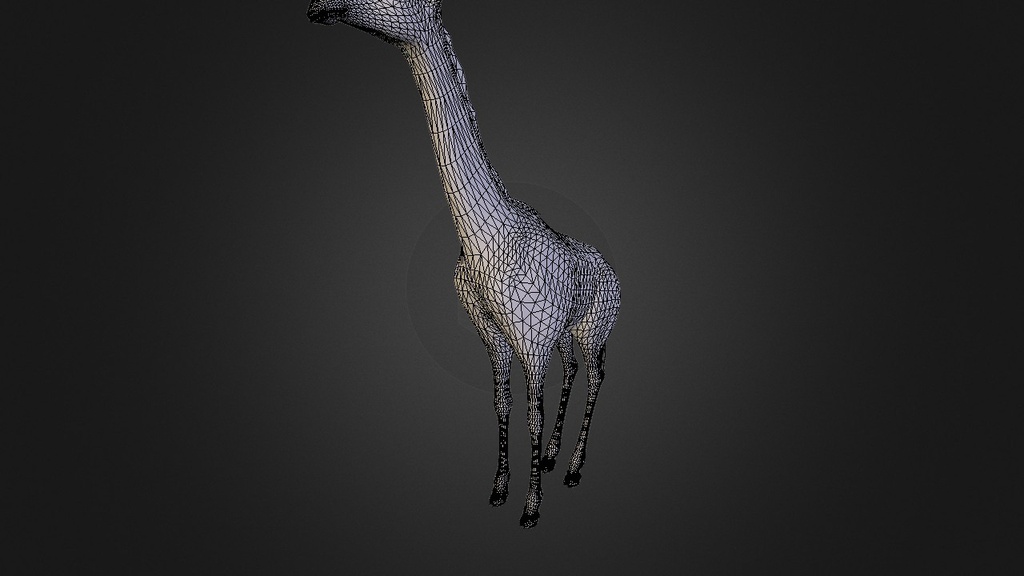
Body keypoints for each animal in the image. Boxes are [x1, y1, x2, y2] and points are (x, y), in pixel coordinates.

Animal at [307, 0, 621, 528]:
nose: (317, 7)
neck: (483, 236)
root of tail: (616, 275)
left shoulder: (531, 336)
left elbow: (531, 414)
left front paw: (531, 509)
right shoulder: (495, 335)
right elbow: (502, 404)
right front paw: (499, 489)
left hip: (593, 327)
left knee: (597, 376)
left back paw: (574, 468)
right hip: (567, 332)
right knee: (576, 370)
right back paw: (552, 457)